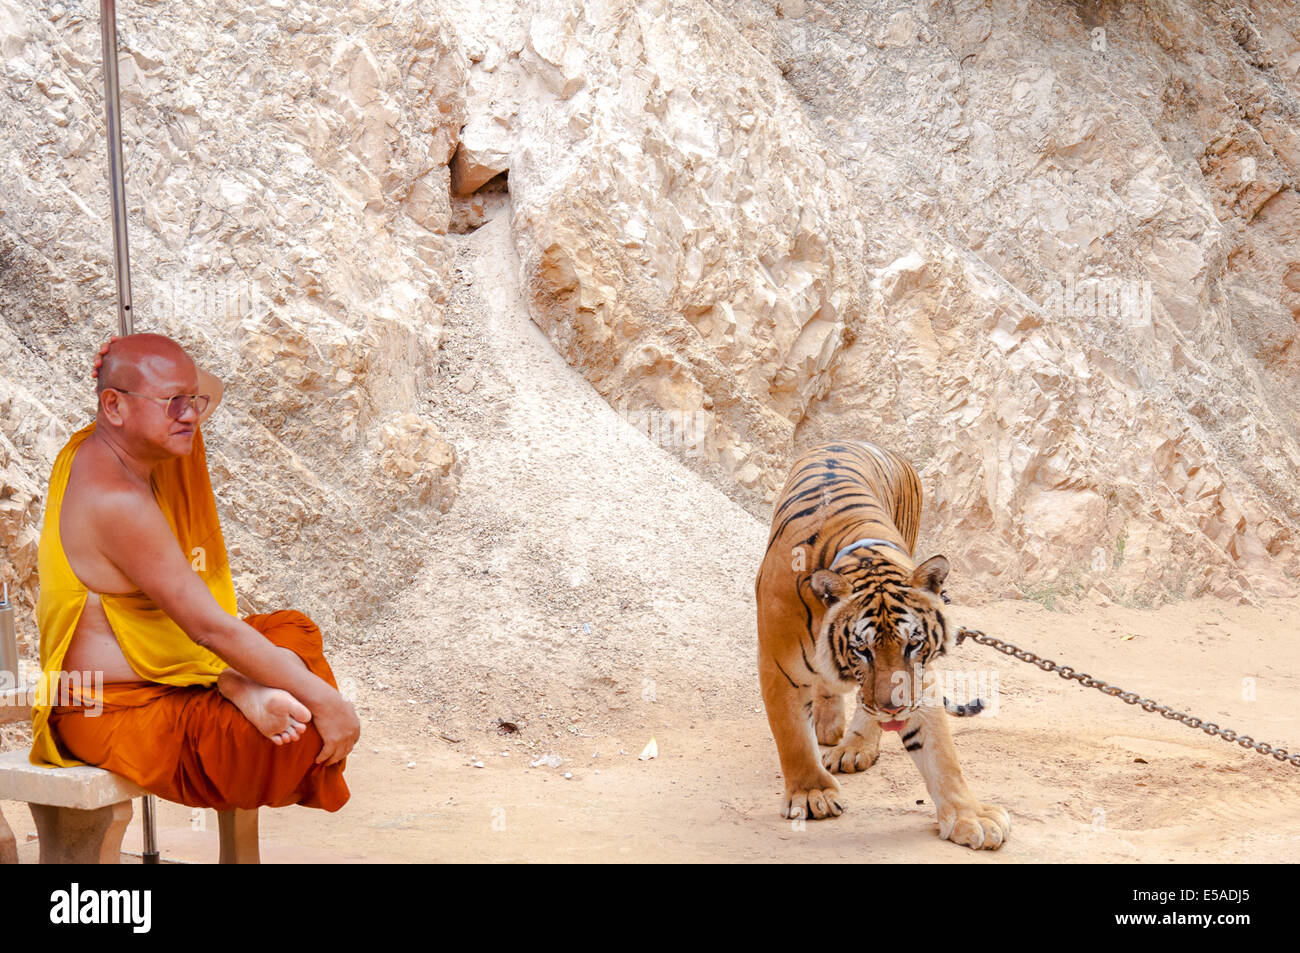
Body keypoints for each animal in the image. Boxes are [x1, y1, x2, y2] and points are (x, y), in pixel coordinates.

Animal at [754, 439, 1010, 850]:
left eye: (913, 644)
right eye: (862, 649)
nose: (894, 709)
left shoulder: (919, 679)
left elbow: (940, 752)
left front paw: (969, 816)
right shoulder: (780, 665)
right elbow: (792, 735)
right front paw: (811, 795)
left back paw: (853, 745)